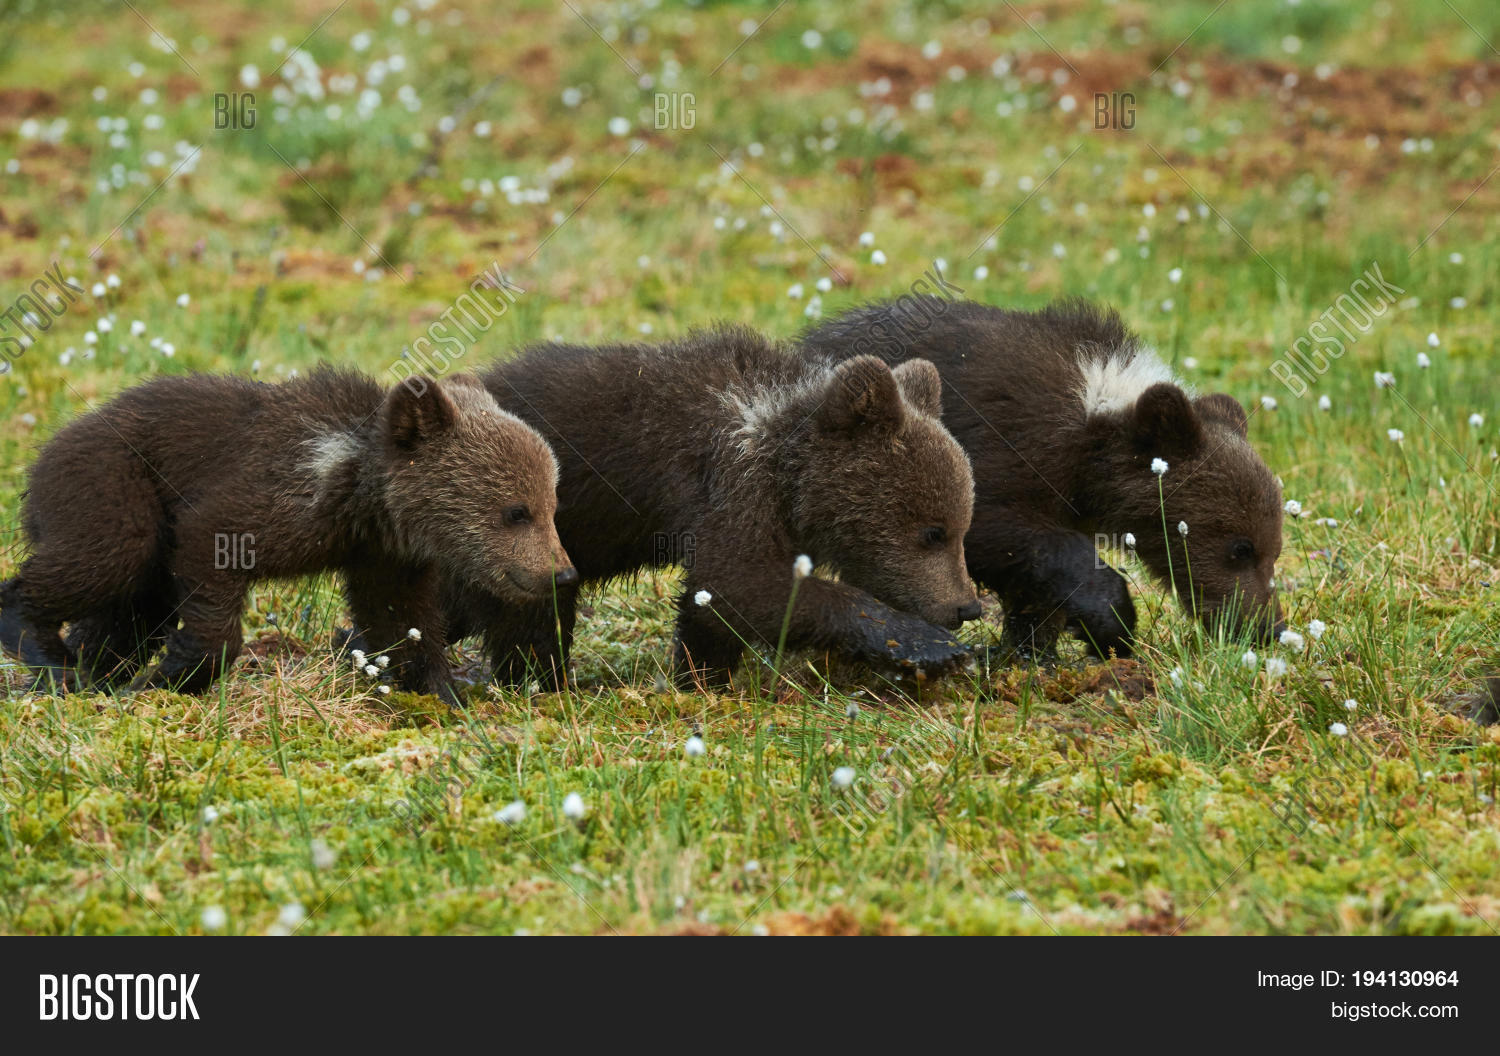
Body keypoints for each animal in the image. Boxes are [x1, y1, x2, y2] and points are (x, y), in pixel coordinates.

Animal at [0, 368, 574, 705]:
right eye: (516, 511)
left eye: (552, 504)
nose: (562, 573)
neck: (359, 490)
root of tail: (46, 448)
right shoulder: (272, 498)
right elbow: (213, 546)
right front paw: (178, 671)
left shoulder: (380, 553)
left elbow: (399, 614)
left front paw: (441, 690)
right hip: (116, 483)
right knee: (106, 557)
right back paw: (45, 649)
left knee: (127, 610)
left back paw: (87, 671)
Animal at [415, 325, 982, 689]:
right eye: (934, 531)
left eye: (962, 526)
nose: (966, 607)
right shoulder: (730, 480)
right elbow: (735, 582)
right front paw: (925, 644)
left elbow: (709, 611)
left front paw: (702, 675)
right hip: (510, 543)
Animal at [800, 297, 1286, 659]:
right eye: (1241, 548)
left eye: (1273, 549)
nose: (1269, 628)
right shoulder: (999, 445)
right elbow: (994, 531)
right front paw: (1112, 624)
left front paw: (1033, 647)